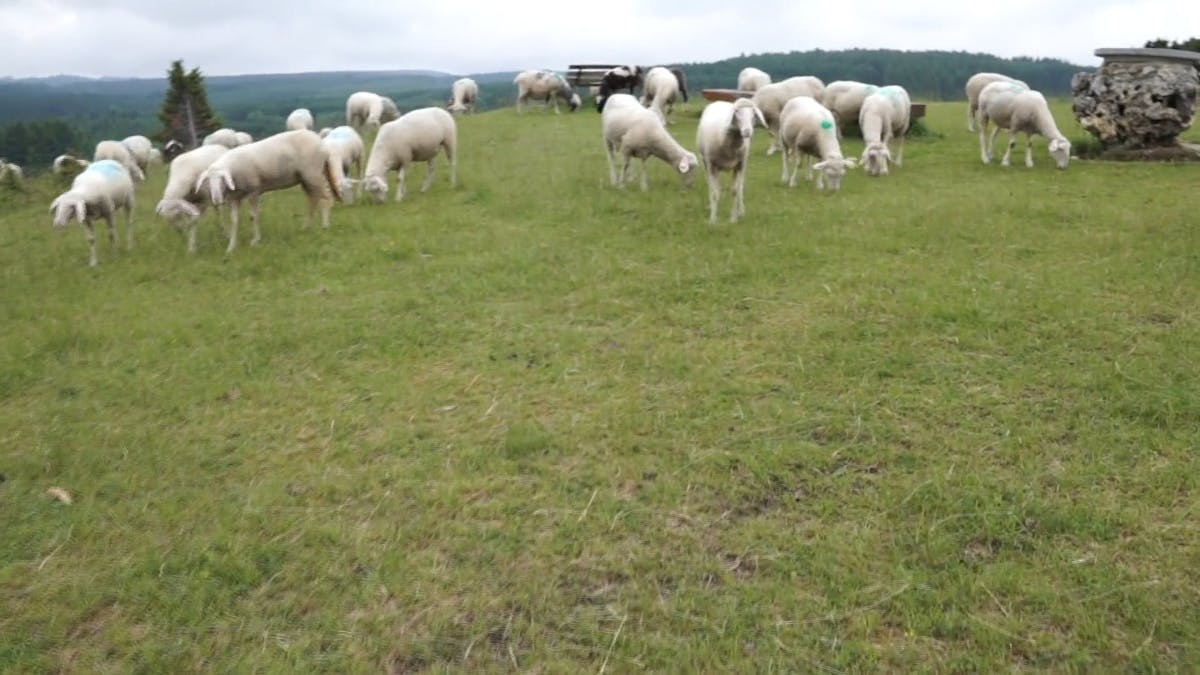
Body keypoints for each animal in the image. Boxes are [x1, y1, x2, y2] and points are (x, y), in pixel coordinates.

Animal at [194, 129, 339, 254]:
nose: (216, 199)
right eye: (208, 181)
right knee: (313, 199)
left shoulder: (253, 190)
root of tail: (320, 141)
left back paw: (325, 225)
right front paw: (231, 247)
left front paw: (255, 240)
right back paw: (306, 227)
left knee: (326, 197)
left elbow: (253, 216)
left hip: (313, 173)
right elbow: (234, 221)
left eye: (222, 179)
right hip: (305, 178)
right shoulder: (234, 198)